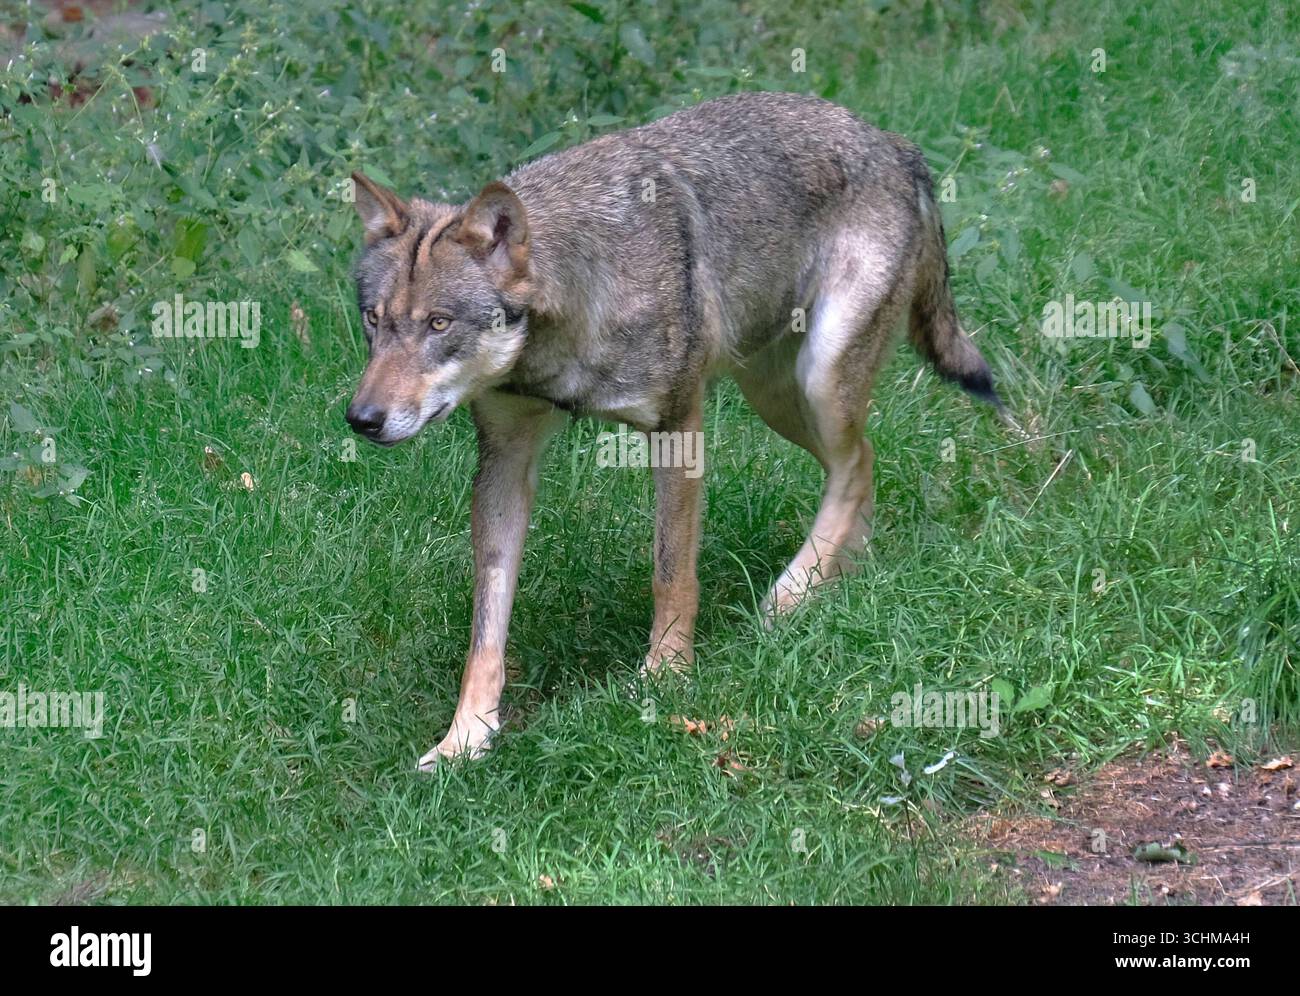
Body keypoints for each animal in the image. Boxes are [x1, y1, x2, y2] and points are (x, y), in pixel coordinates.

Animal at [345, 91, 999, 768]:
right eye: (373, 320)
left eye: (439, 323)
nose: (360, 419)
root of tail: (894, 142)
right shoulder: (504, 462)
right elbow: (486, 630)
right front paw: (466, 739)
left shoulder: (677, 429)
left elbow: (670, 573)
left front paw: (664, 678)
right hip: (775, 396)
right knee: (863, 465)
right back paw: (834, 580)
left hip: (817, 381)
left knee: (856, 466)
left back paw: (790, 596)